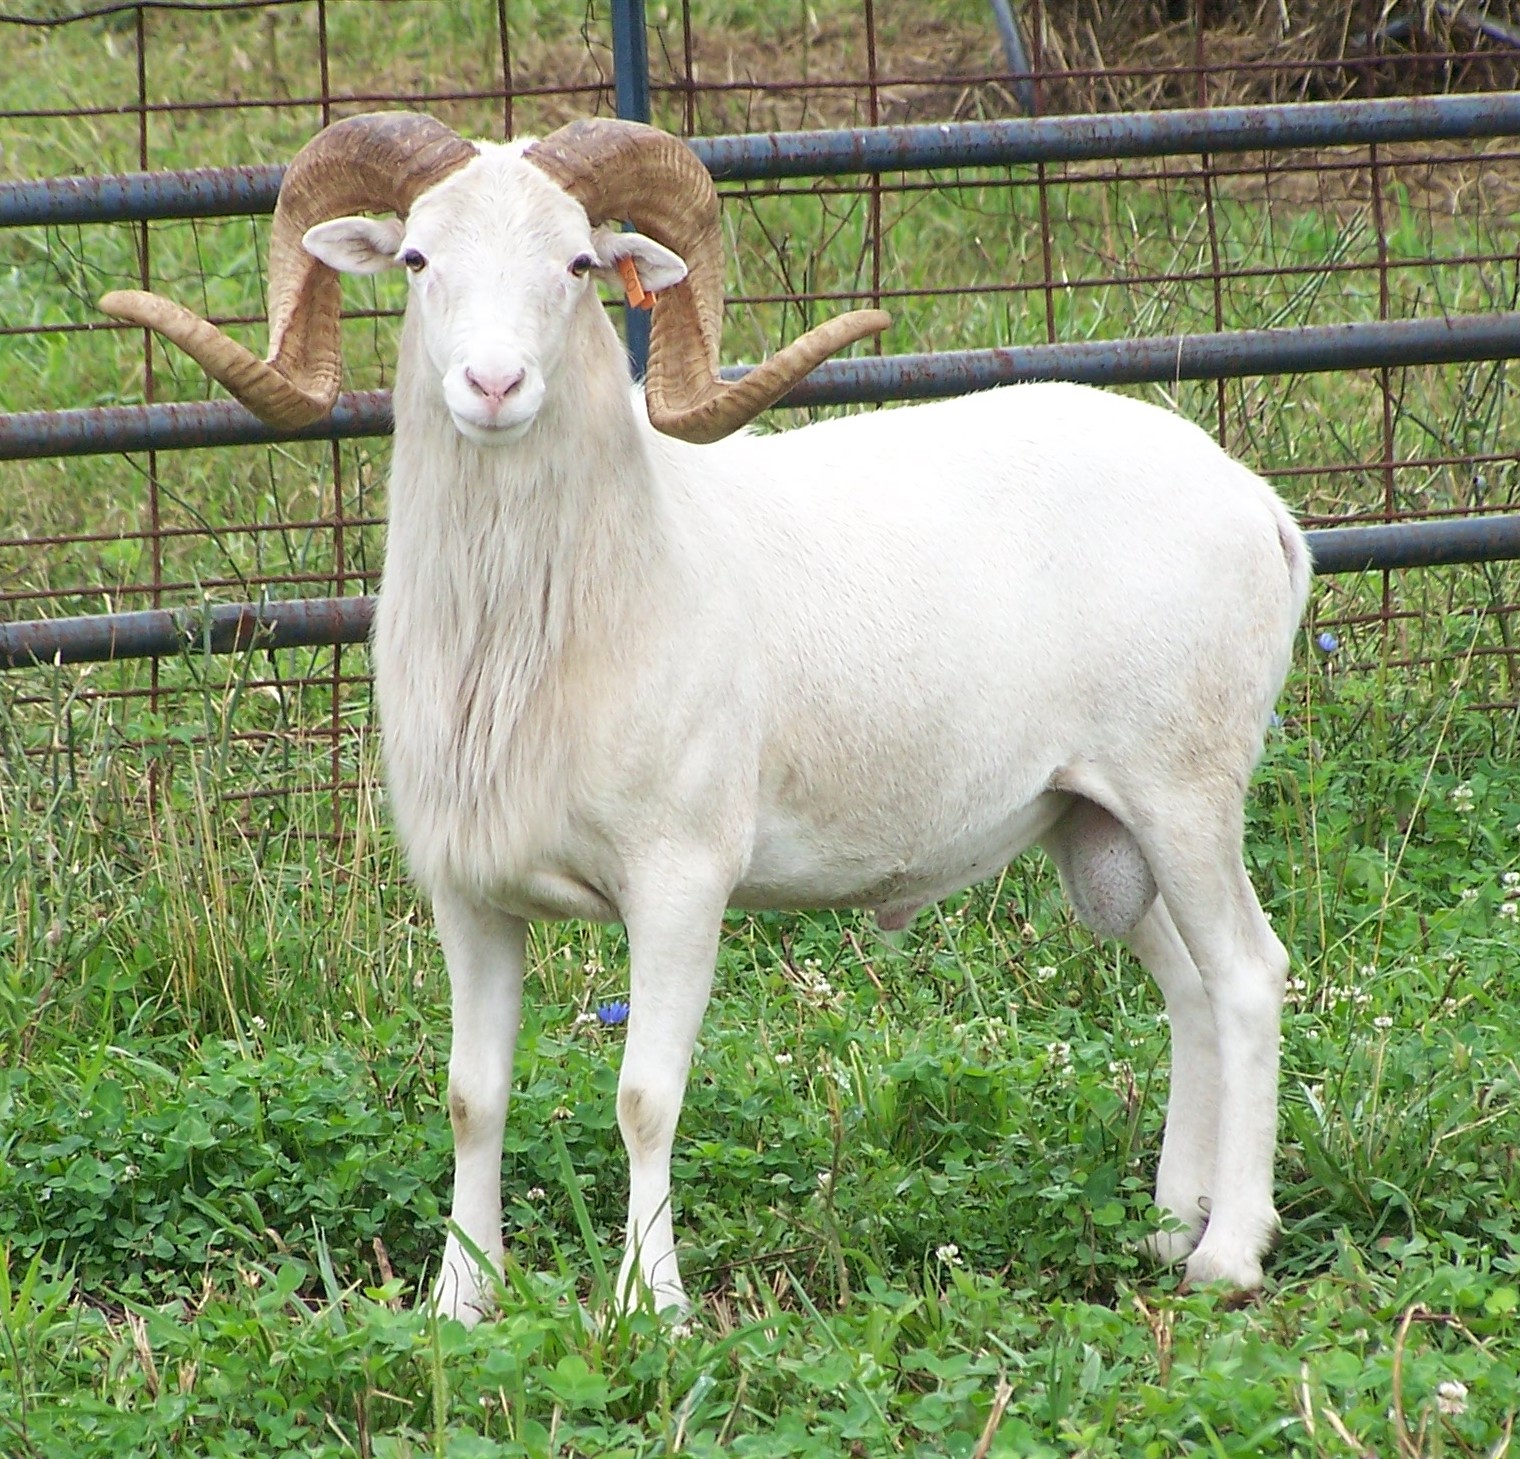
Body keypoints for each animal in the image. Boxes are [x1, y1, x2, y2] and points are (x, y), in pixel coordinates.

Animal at [101, 111, 1311, 1325]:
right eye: (416, 259)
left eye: (576, 265)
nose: (492, 384)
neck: (542, 631)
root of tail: (1254, 502)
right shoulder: (469, 895)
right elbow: (471, 1096)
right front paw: (460, 1303)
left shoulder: (679, 882)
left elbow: (646, 1097)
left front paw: (651, 1306)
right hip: (1096, 829)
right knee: (1188, 991)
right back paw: (1170, 1225)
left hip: (1184, 798)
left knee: (1248, 978)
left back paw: (1229, 1256)